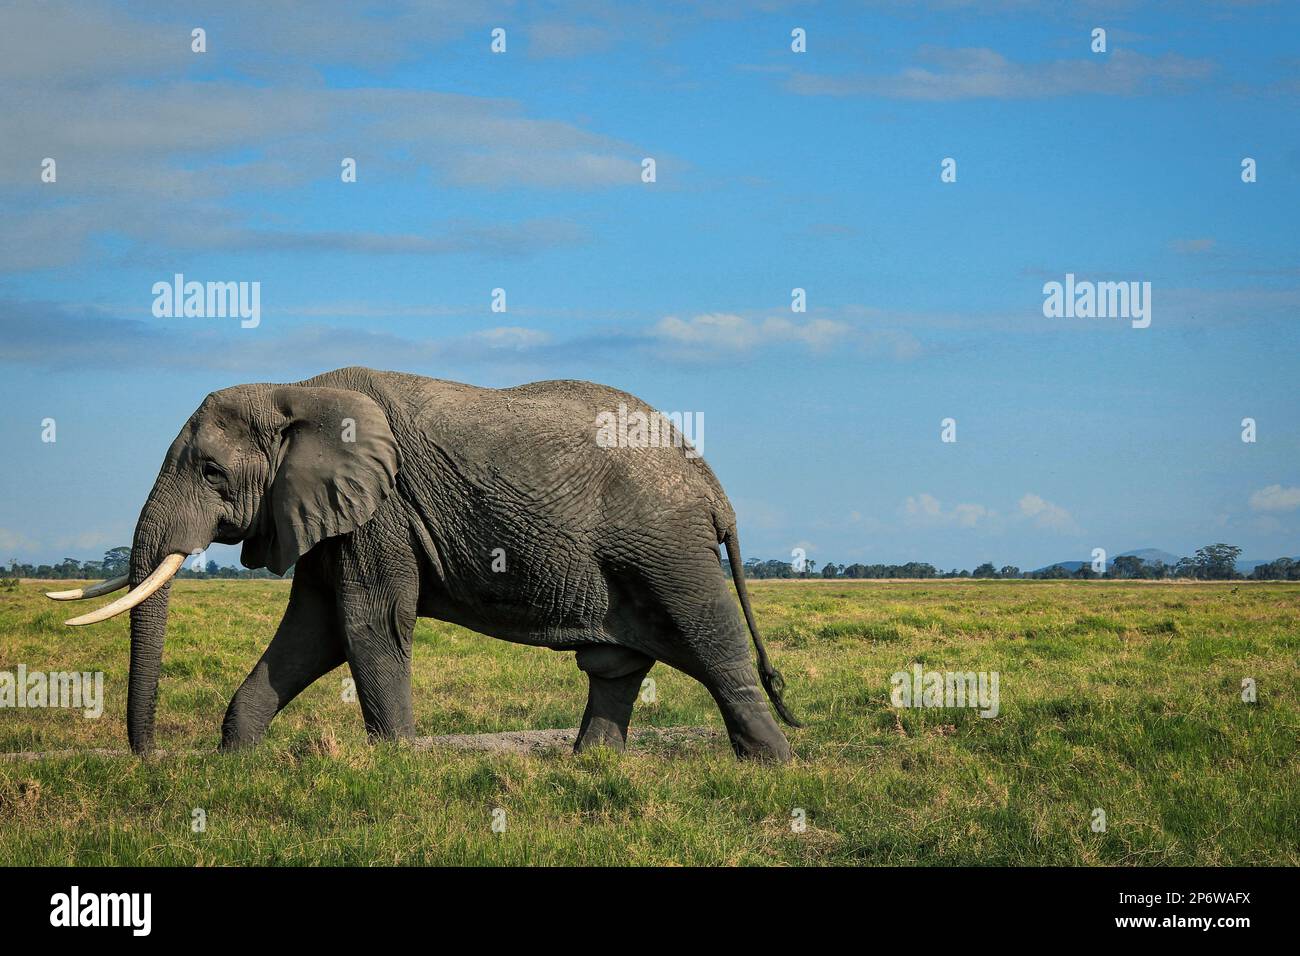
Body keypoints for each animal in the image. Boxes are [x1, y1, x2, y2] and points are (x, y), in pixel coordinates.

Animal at [49, 366, 800, 761]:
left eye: (210, 471)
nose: (150, 760)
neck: (296, 389)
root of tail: (713, 488)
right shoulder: (333, 515)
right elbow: (313, 632)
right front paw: (238, 760)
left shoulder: (381, 510)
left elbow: (368, 624)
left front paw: (394, 768)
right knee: (618, 664)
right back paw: (590, 769)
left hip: (667, 547)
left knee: (713, 643)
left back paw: (772, 769)